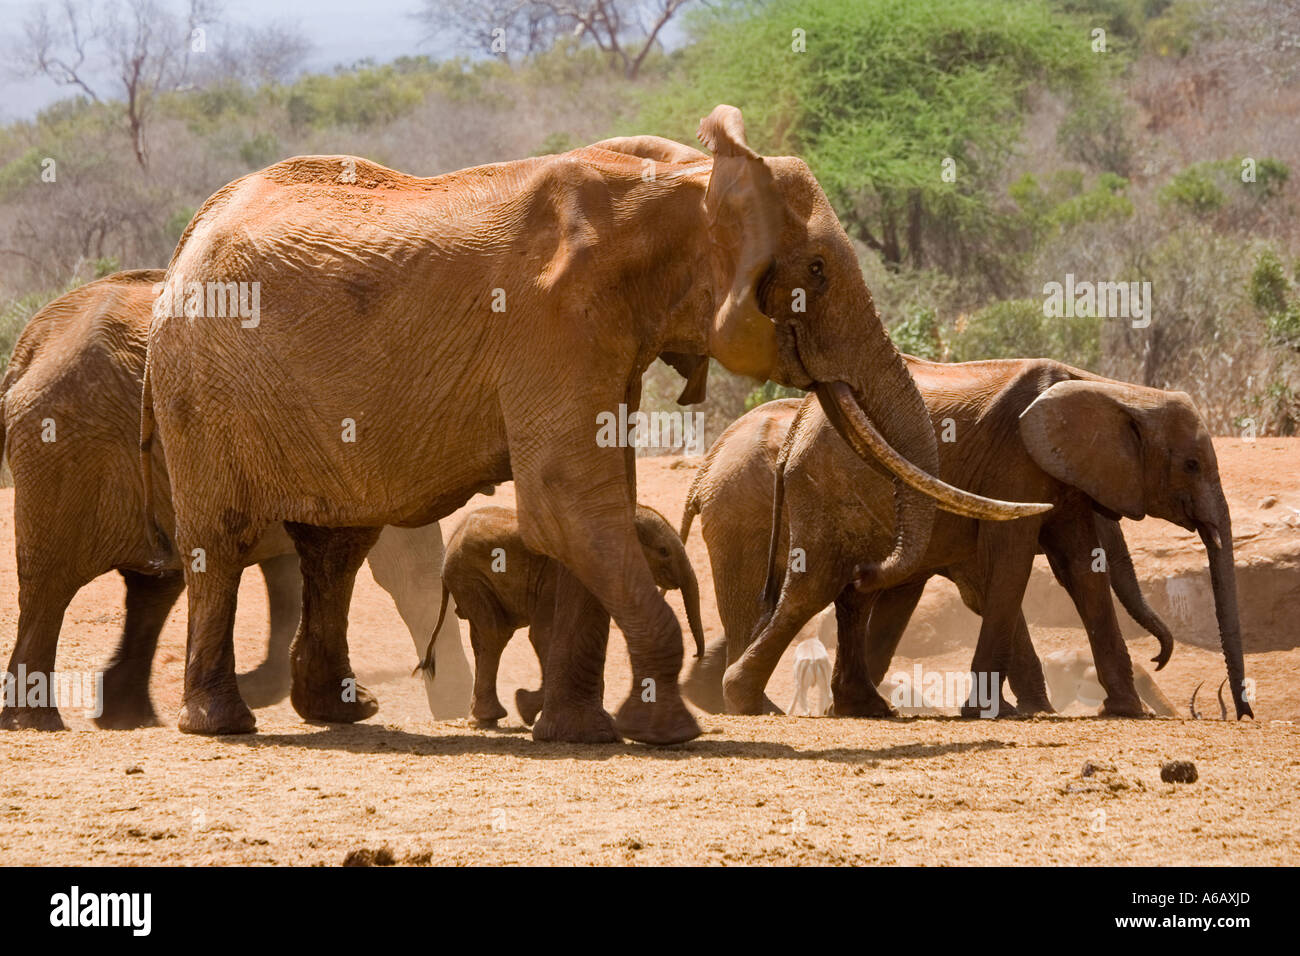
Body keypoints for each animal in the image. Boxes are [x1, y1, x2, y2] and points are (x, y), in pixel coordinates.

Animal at [0, 270, 472, 729]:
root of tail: (25, 353)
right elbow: (402, 565)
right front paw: (450, 706)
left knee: (154, 584)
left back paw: (127, 717)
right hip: (65, 450)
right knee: (52, 582)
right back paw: (40, 722)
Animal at [428, 503, 704, 727]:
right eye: (663, 551)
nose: (696, 655)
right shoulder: (556, 575)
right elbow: (544, 633)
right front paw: (526, 707)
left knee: (484, 638)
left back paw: (484, 718)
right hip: (470, 577)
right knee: (494, 635)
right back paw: (490, 718)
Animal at [680, 356, 1250, 721]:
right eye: (1192, 464)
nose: (1244, 714)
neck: (1111, 388)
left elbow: (1081, 570)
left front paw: (1120, 711)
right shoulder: (1014, 467)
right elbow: (1008, 569)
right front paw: (997, 712)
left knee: (846, 592)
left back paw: (862, 707)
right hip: (774, 504)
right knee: (808, 589)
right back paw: (753, 704)